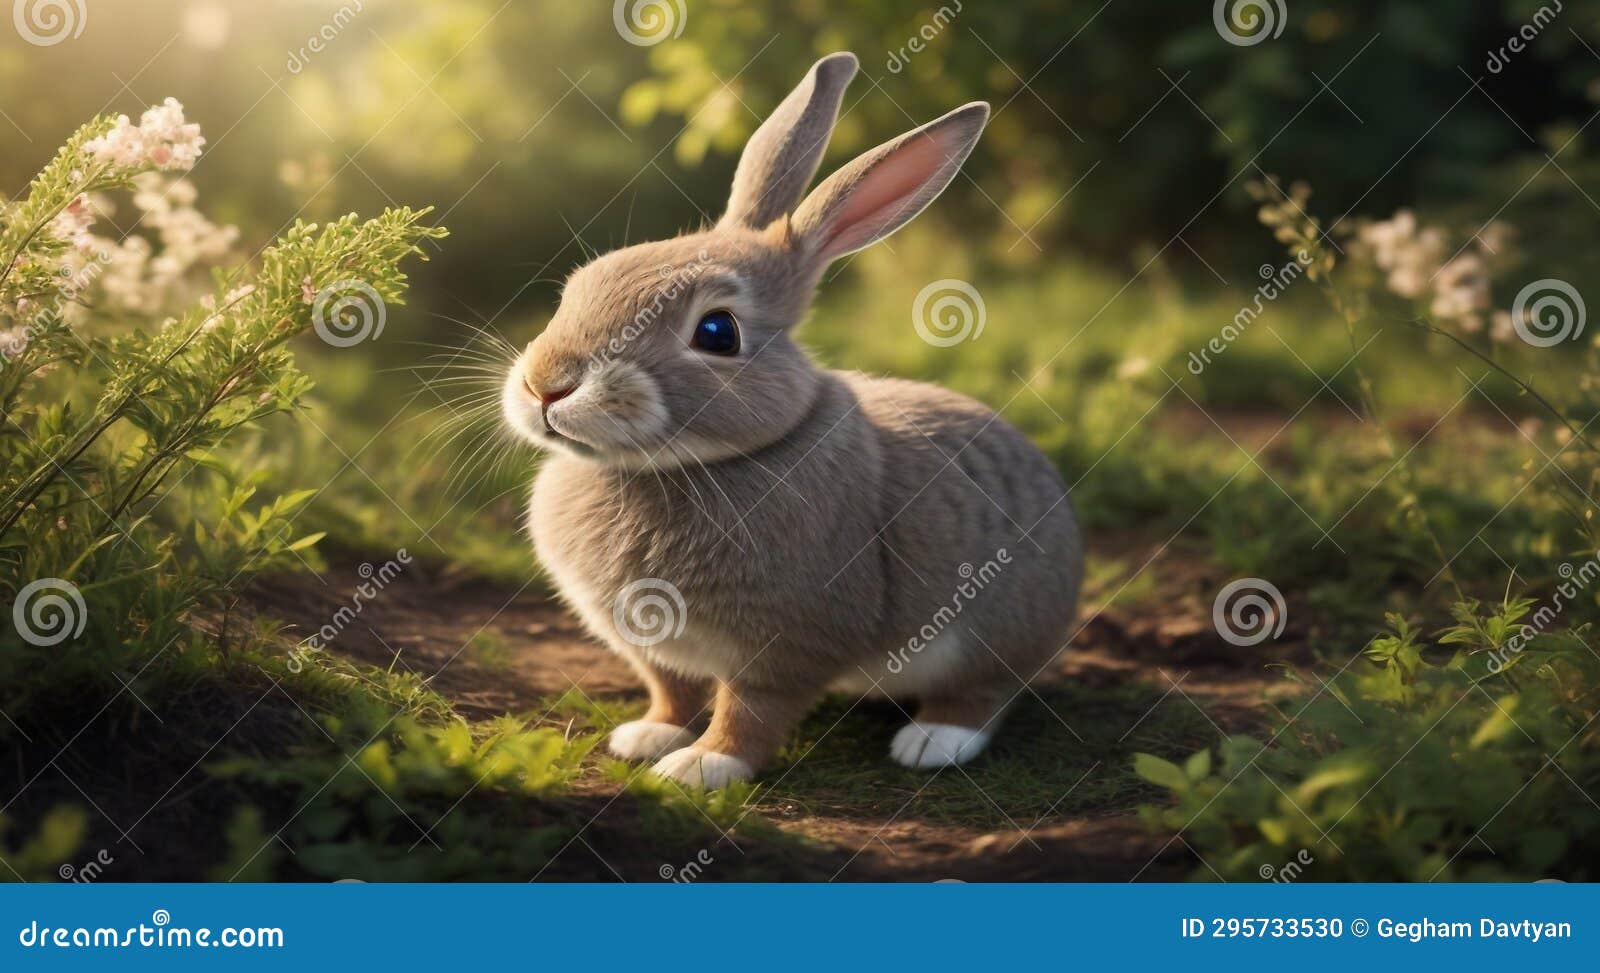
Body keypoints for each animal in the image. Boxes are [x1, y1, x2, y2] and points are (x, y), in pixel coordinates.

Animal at [501, 51, 1083, 789]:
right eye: (580, 286)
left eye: (718, 332)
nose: (546, 385)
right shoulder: (655, 649)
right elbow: (672, 688)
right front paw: (648, 736)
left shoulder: (784, 645)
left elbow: (750, 711)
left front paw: (701, 767)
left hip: (992, 629)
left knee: (986, 691)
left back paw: (933, 740)